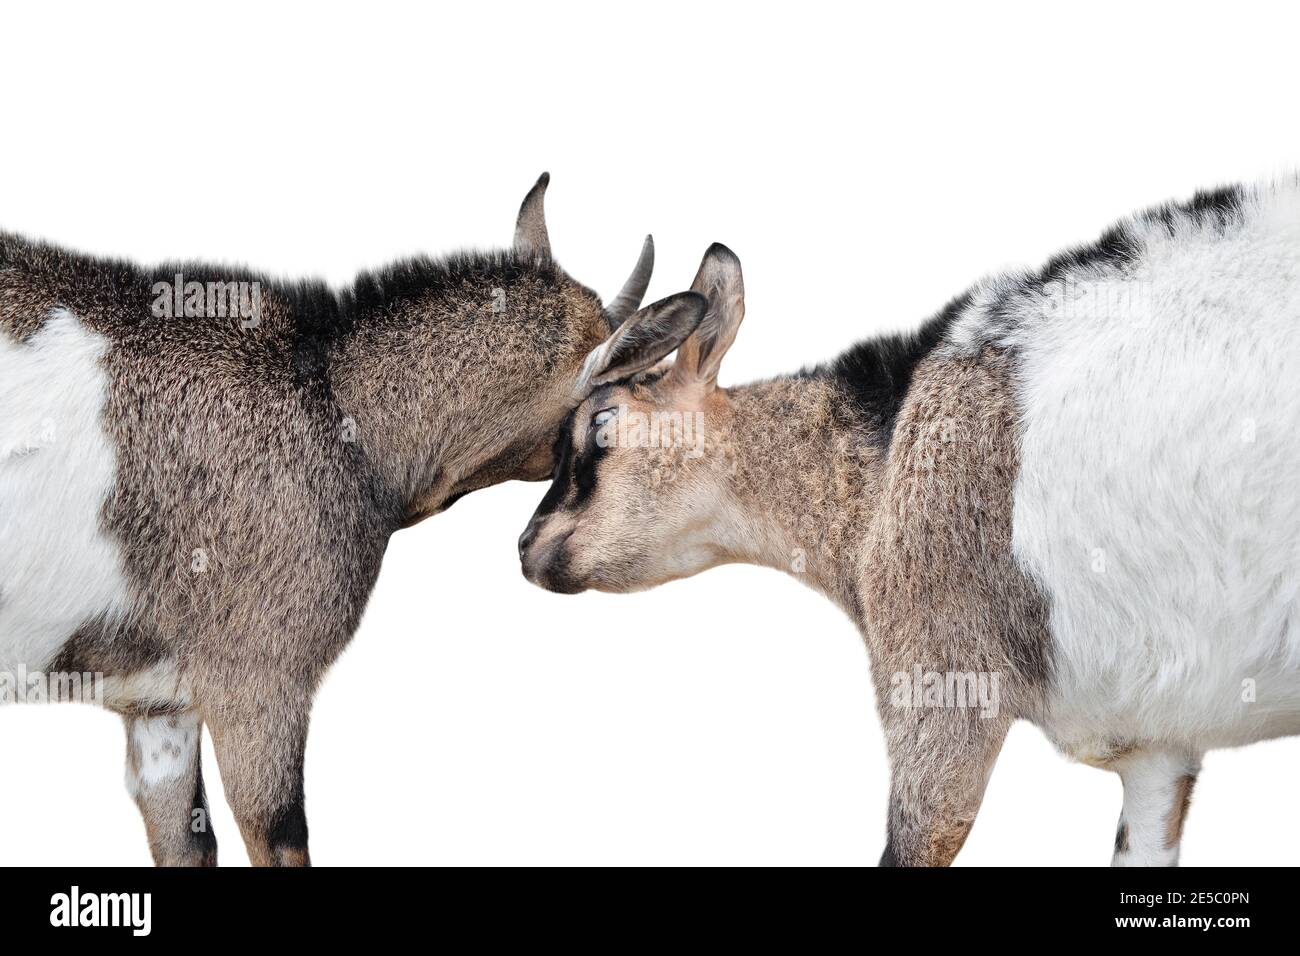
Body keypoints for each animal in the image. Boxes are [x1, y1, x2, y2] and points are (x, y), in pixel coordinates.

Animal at [0, 174, 707, 865]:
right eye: (607, 411)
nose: (538, 550)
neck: (338, 407)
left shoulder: (159, 704)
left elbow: (185, 842)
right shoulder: (259, 678)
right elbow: (280, 835)